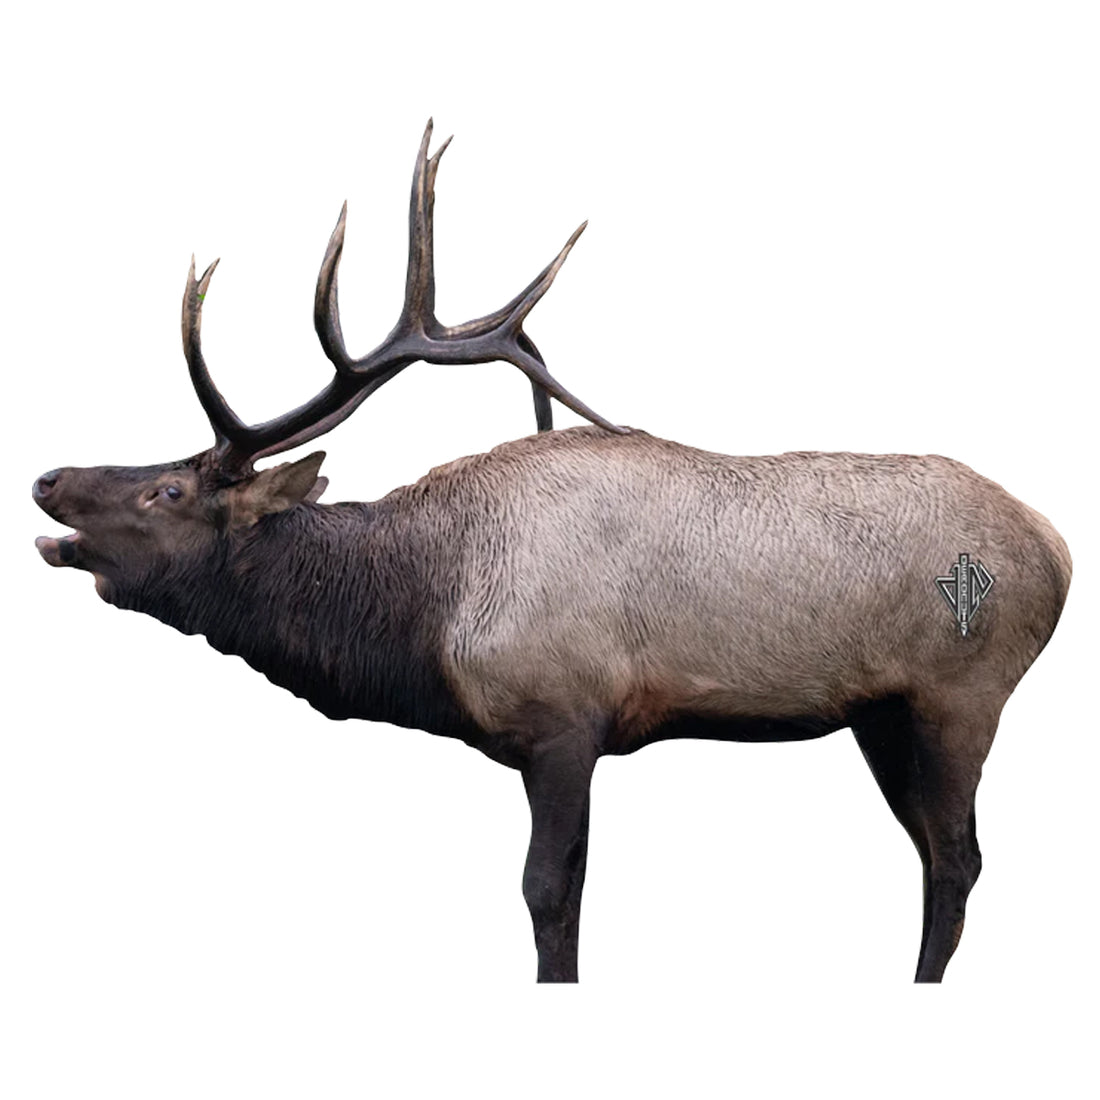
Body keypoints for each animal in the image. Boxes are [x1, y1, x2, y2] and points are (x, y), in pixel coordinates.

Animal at [33, 122, 1071, 983]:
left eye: (167, 492)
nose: (47, 480)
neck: (426, 612)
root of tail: (1057, 547)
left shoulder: (564, 719)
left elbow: (549, 896)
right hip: (880, 713)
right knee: (932, 856)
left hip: (959, 695)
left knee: (960, 859)